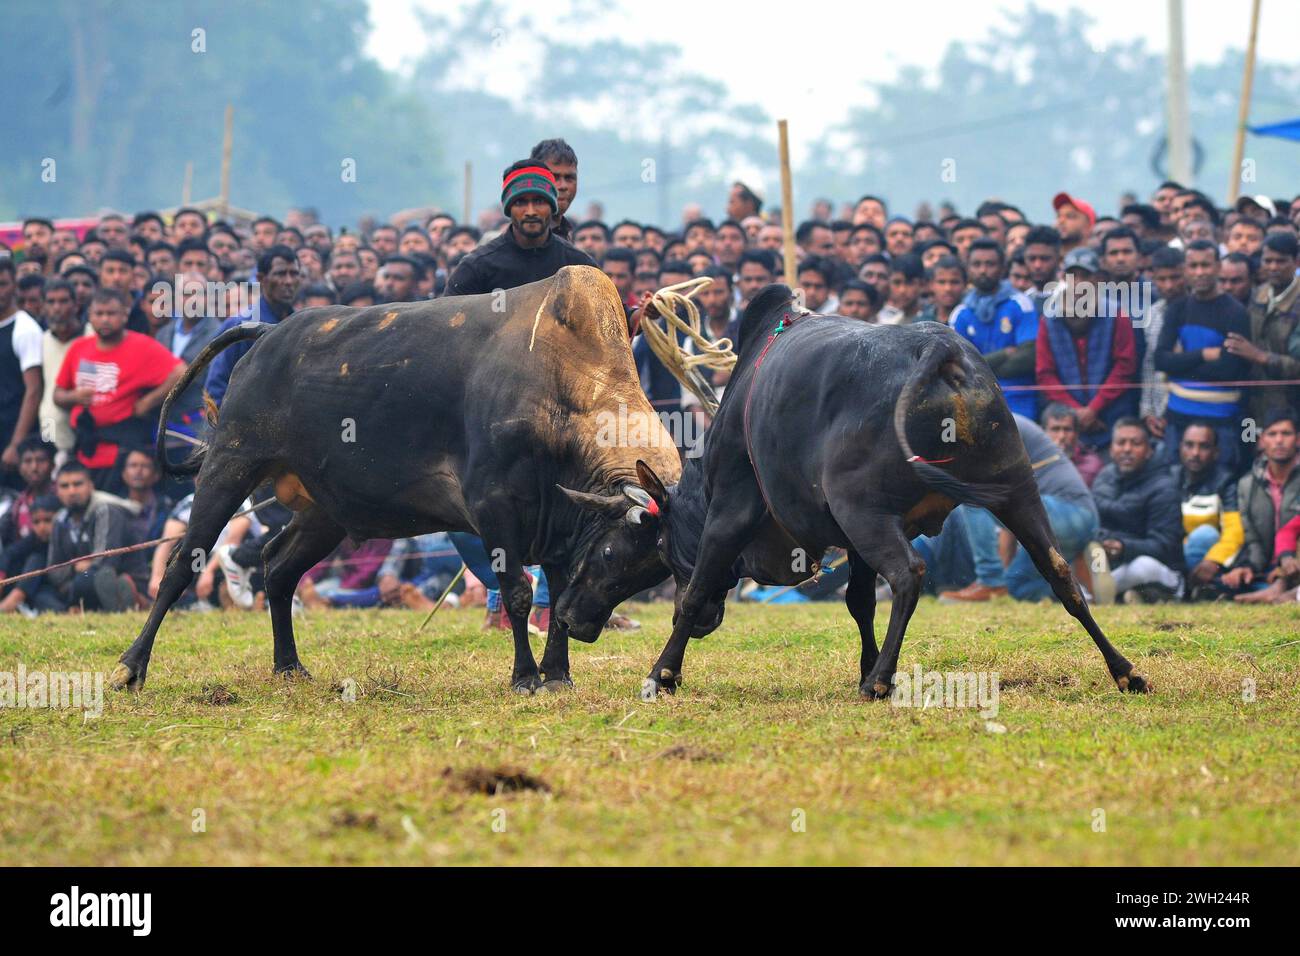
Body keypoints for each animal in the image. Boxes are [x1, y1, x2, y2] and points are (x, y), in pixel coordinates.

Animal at [109, 265, 680, 694]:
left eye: (648, 573)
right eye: (613, 553)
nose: (586, 627)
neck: (564, 390)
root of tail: (269, 334)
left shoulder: (561, 525)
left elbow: (555, 588)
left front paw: (558, 673)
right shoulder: (495, 511)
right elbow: (517, 592)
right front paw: (525, 676)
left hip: (324, 513)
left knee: (278, 567)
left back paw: (288, 665)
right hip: (229, 465)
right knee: (182, 563)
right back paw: (130, 667)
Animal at [557, 284, 1151, 700]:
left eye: (618, 549)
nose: (567, 616)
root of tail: (937, 348)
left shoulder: (733, 510)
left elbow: (696, 591)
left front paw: (662, 674)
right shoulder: (851, 539)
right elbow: (860, 601)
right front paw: (866, 662)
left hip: (863, 507)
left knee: (909, 574)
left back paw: (882, 681)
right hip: (1014, 488)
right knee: (1061, 574)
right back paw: (1125, 671)